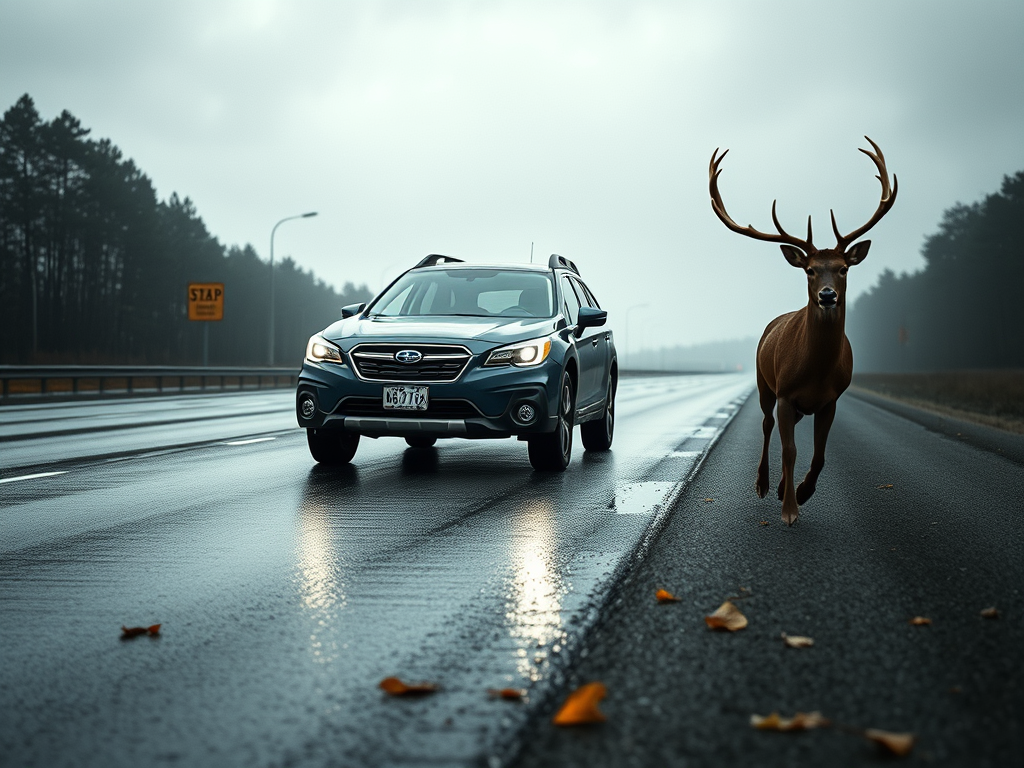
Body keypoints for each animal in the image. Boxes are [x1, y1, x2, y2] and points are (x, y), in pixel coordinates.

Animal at [708, 137, 897, 525]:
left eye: (843, 268)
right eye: (809, 269)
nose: (827, 295)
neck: (816, 371)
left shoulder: (831, 399)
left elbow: (819, 455)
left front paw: (802, 493)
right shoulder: (785, 392)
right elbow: (790, 450)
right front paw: (789, 509)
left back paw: (782, 486)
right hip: (764, 383)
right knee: (767, 427)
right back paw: (765, 484)